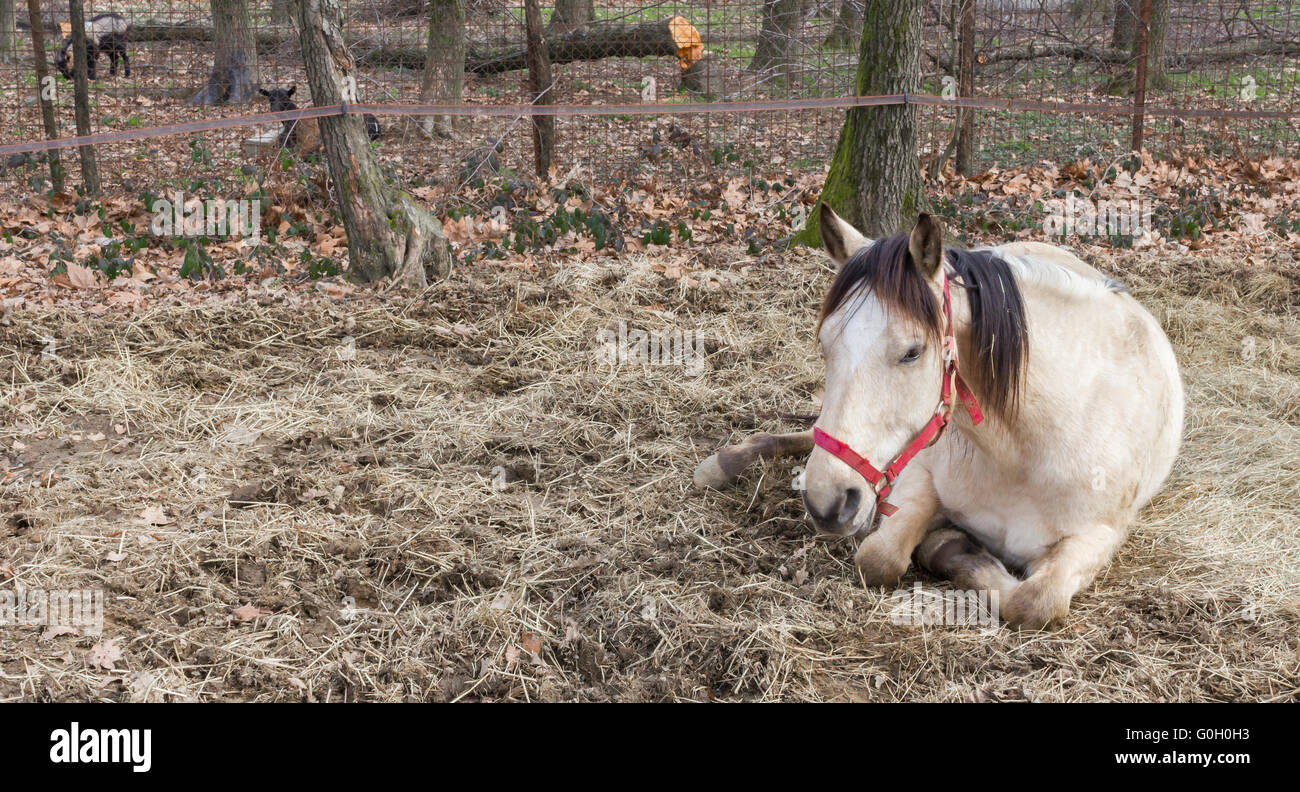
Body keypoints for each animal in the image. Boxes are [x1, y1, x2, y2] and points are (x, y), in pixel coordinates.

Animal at [694, 205, 1183, 628]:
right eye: (824, 343)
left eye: (913, 352)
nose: (826, 503)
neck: (1026, 450)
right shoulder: (918, 473)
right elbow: (878, 558)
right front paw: (945, 542)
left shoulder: (1100, 535)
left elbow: (1033, 602)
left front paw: (951, 545)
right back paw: (725, 463)